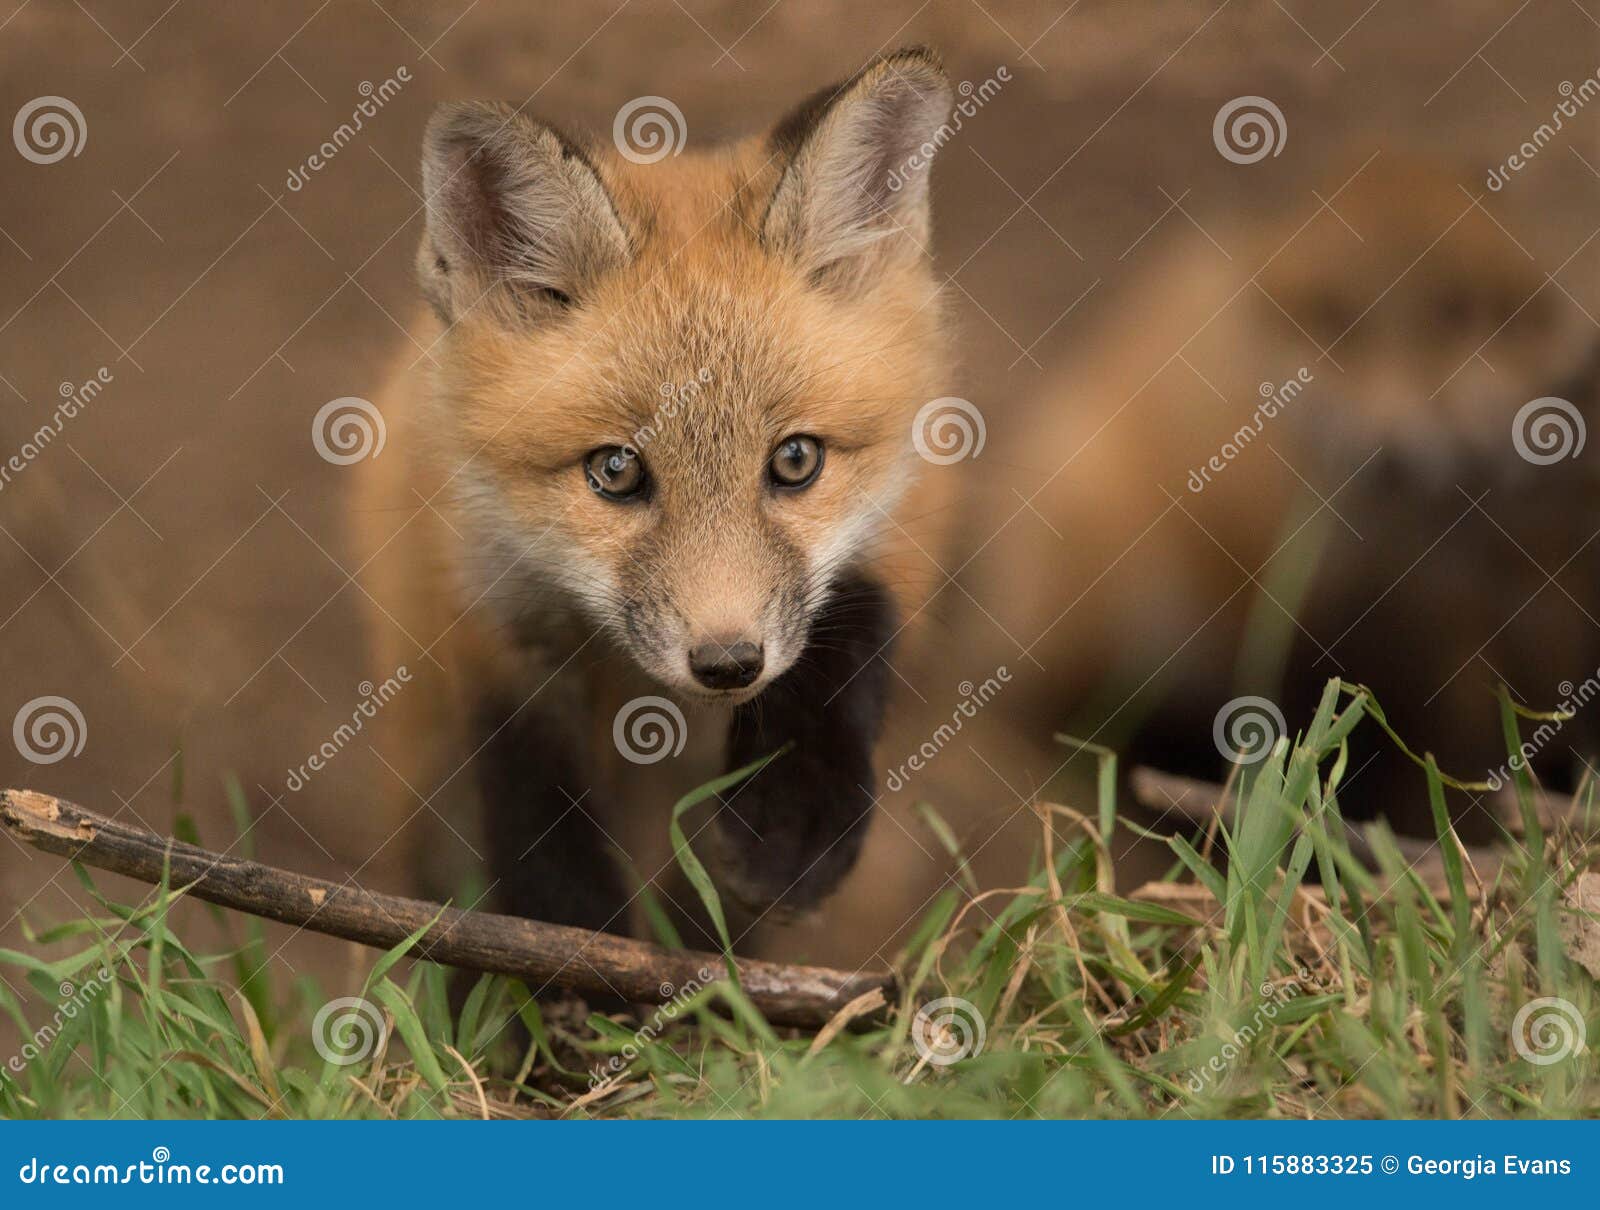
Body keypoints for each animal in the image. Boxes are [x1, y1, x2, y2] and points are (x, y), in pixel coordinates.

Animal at [349, 50, 957, 941]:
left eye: (797, 461)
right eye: (615, 471)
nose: (728, 664)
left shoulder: (903, 522)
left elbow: (855, 623)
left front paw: (790, 820)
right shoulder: (478, 600)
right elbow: (535, 803)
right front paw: (573, 952)